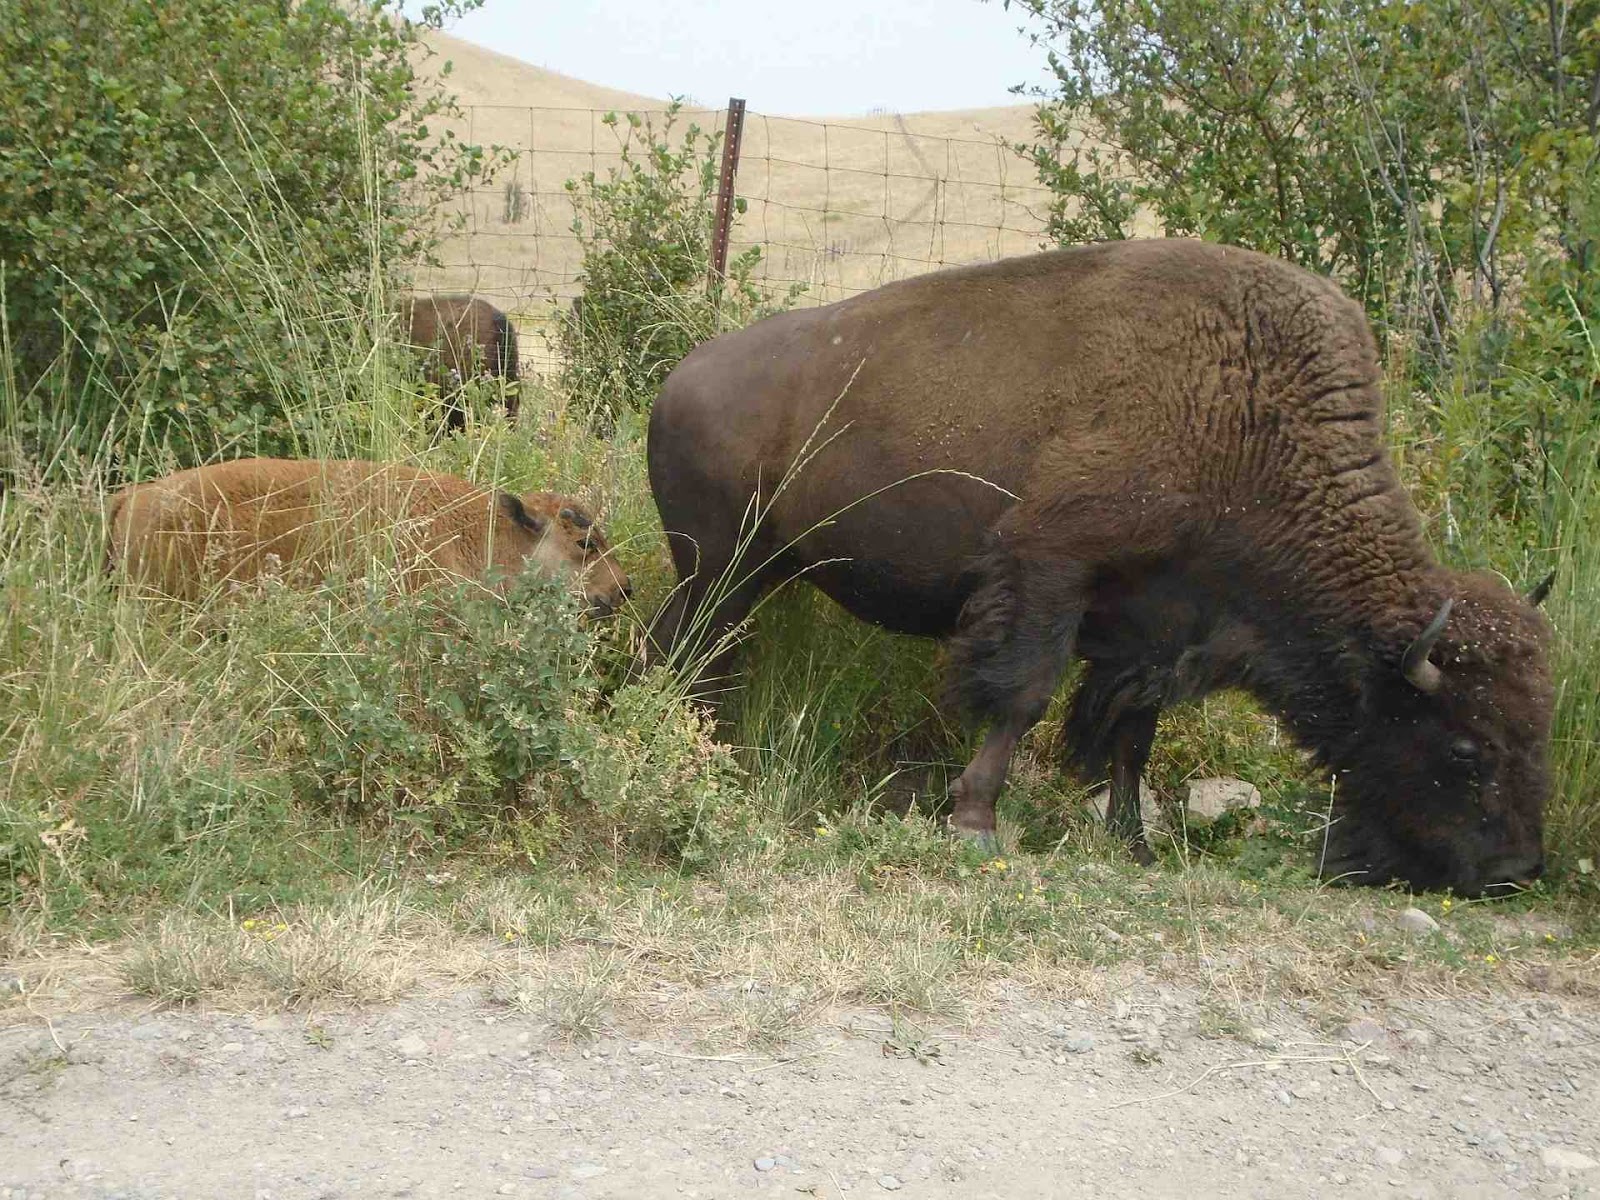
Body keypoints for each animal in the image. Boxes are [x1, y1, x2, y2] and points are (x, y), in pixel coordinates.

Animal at [645, 238, 1554, 896]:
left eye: (1537, 729)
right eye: (1466, 748)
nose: (1513, 872)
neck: (1245, 417)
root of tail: (676, 379)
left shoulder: (1158, 630)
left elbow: (1133, 737)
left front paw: (1134, 843)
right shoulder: (1051, 566)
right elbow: (1024, 696)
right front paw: (975, 825)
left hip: (743, 576)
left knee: (689, 656)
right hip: (717, 573)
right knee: (688, 654)